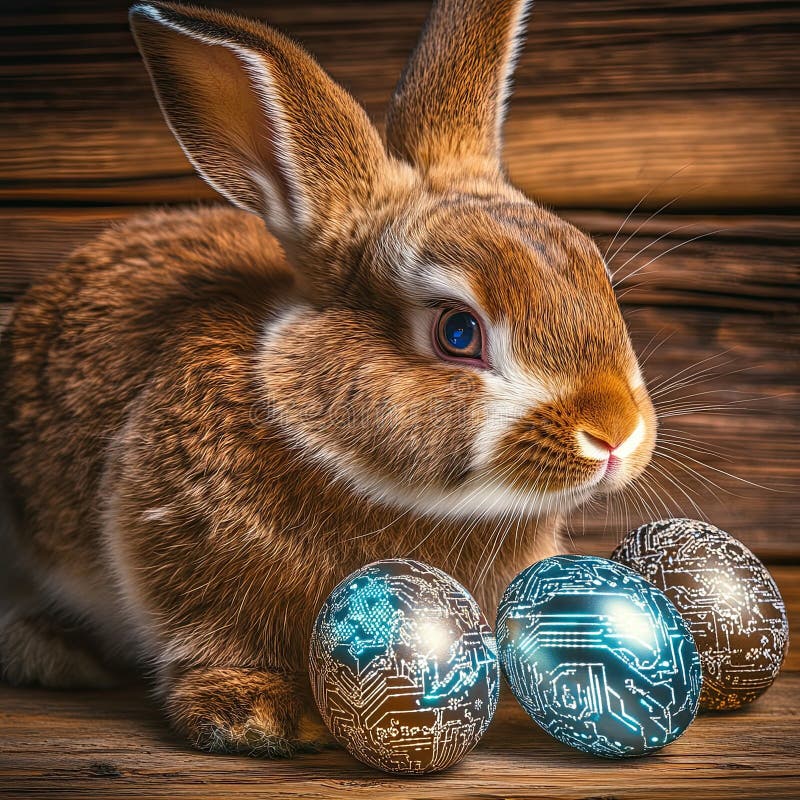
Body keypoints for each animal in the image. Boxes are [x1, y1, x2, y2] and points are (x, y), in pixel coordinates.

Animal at [0, 0, 657, 757]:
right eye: (458, 332)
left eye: (597, 282)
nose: (614, 434)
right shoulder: (183, 567)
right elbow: (212, 641)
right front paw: (250, 717)